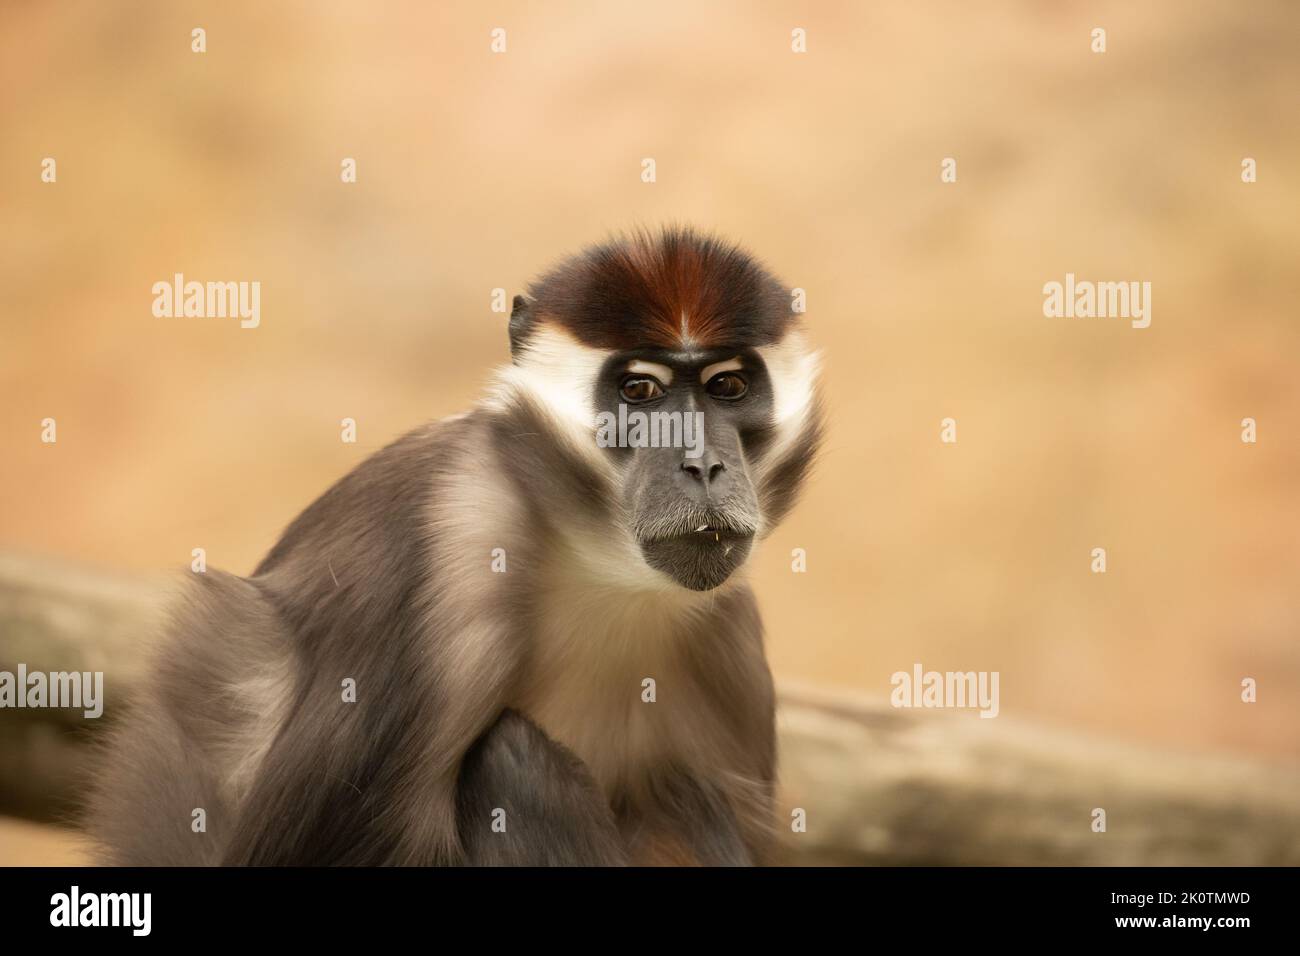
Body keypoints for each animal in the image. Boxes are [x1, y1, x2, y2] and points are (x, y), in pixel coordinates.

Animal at [87, 226, 823, 866]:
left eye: (728, 386)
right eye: (639, 390)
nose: (703, 465)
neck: (602, 572)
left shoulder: (727, 631)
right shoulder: (451, 548)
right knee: (513, 760)